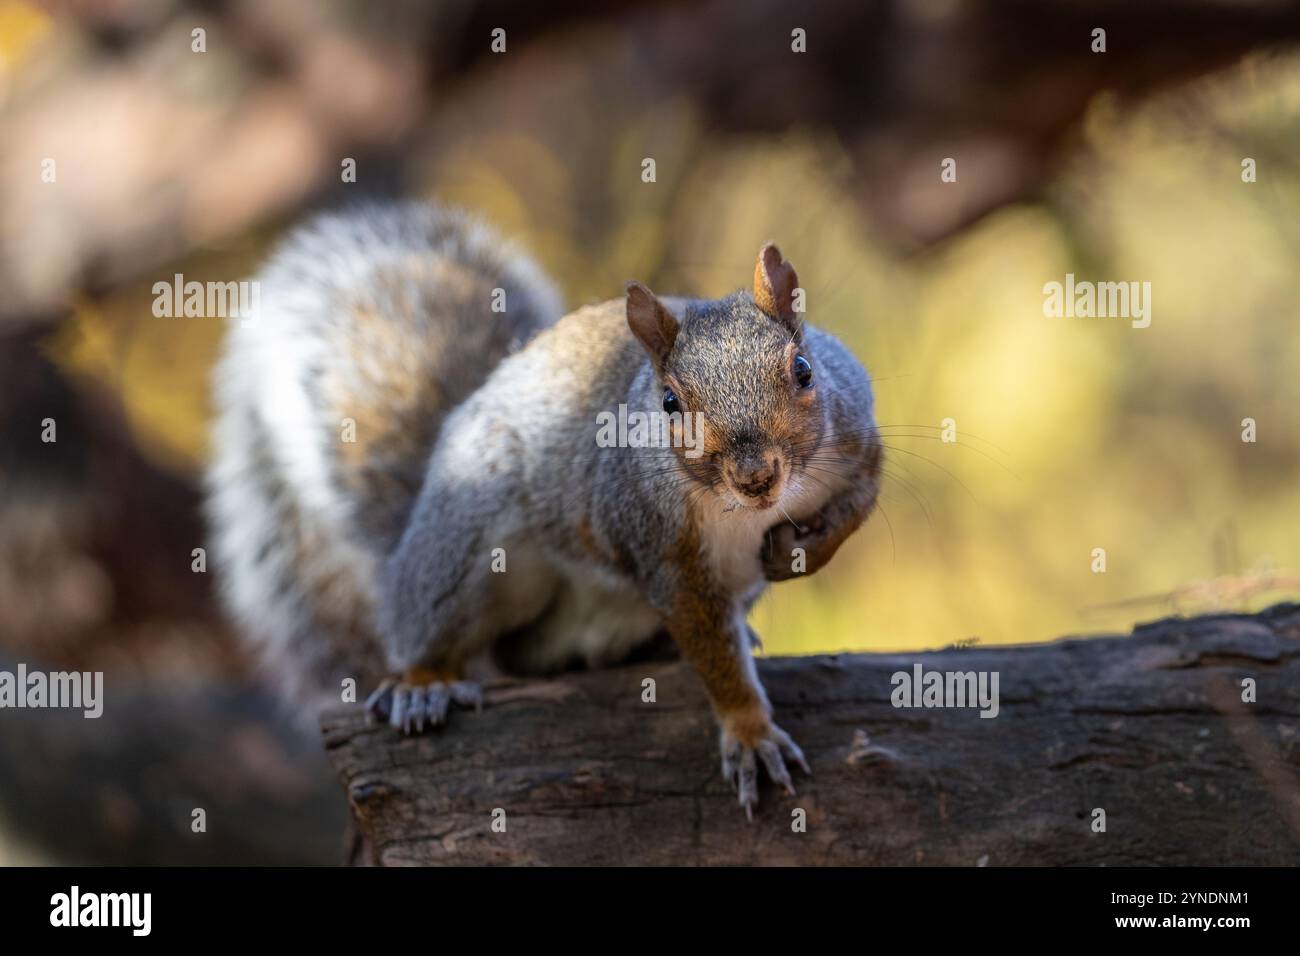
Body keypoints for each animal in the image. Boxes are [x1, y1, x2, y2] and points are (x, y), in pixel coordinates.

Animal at [206, 201, 882, 817]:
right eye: (668, 403)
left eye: (803, 370)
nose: (755, 477)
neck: (749, 511)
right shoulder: (659, 545)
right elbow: (709, 648)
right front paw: (750, 733)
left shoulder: (858, 442)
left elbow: (857, 507)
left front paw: (802, 551)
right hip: (471, 550)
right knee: (447, 633)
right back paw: (424, 684)